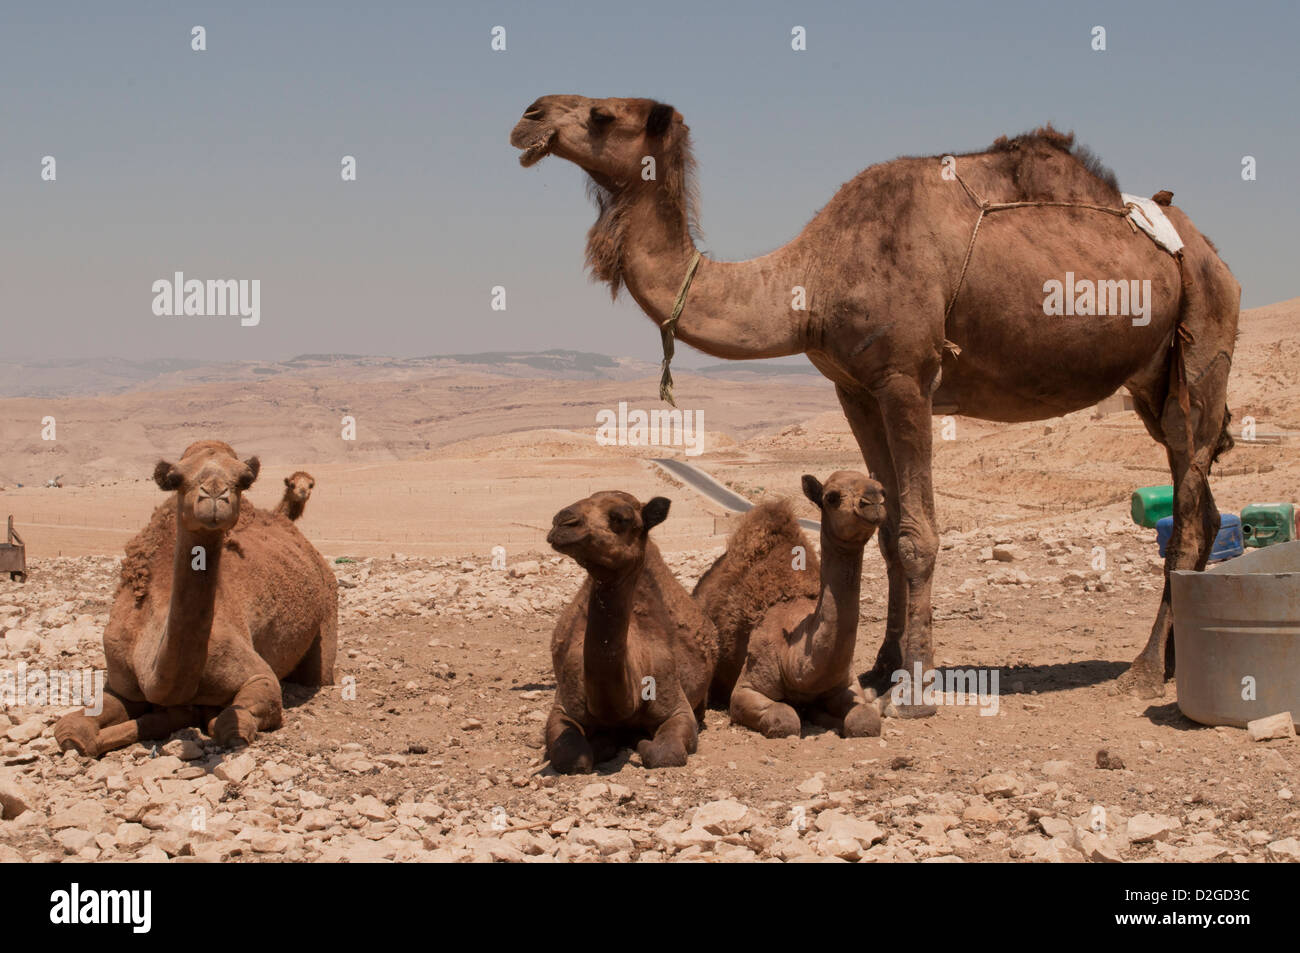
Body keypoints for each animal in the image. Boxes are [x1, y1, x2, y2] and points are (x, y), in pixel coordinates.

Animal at [54, 441, 337, 757]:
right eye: (176, 477)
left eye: (244, 478)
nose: (214, 494)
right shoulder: (120, 680)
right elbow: (69, 729)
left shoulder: (258, 676)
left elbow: (229, 724)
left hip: (328, 609)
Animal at [545, 491, 718, 772]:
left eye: (620, 518)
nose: (562, 522)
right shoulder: (563, 706)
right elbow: (571, 757)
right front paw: (603, 744)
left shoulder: (676, 705)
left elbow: (665, 753)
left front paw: (639, 741)